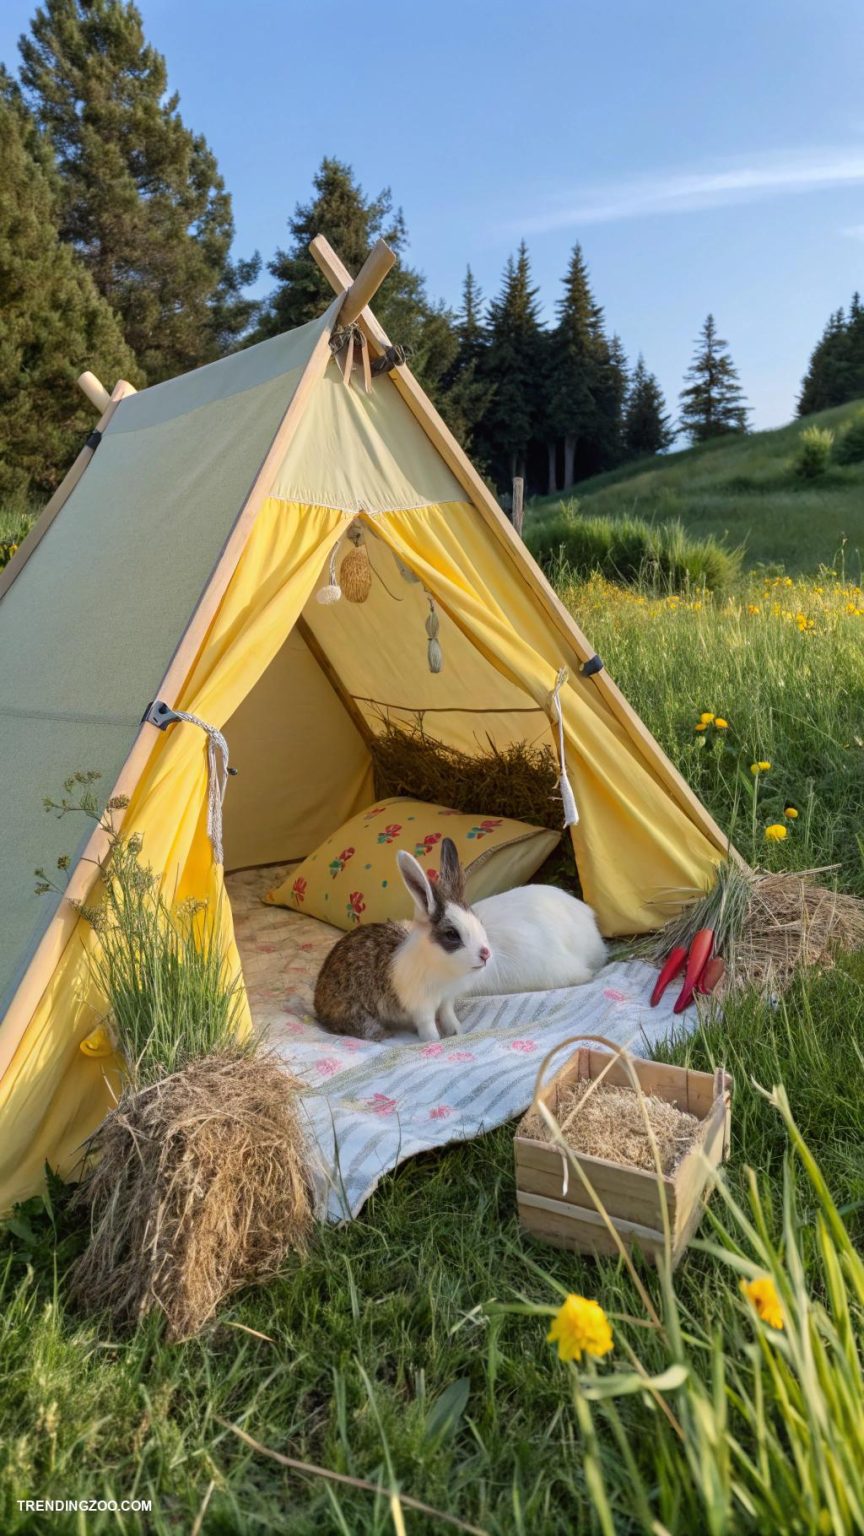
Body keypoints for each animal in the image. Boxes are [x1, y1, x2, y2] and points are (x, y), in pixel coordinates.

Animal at [313, 837, 492, 1042]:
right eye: (452, 934)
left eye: (479, 921)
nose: (486, 954)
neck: (440, 965)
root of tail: (317, 1003)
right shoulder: (422, 1007)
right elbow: (428, 1027)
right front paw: (434, 1040)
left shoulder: (446, 1000)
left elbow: (449, 1016)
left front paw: (457, 1032)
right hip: (356, 1013)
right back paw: (385, 1034)